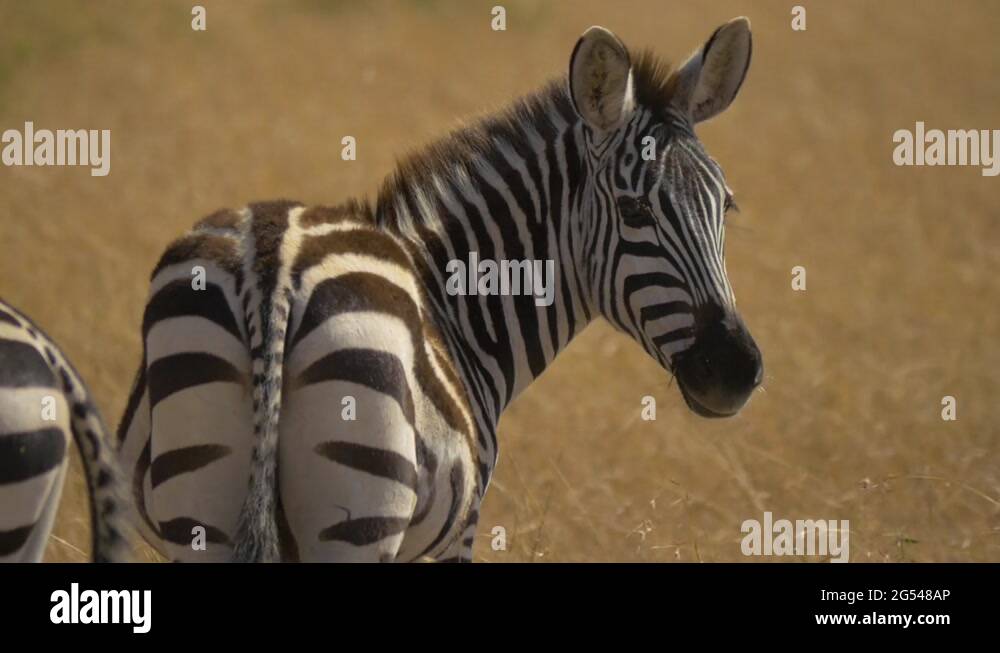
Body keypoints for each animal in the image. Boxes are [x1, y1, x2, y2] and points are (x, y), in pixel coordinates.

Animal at [117, 18, 762, 562]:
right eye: (634, 211)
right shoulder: (458, 529)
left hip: (202, 511)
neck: (457, 309)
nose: (737, 370)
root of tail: (271, 263)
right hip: (358, 517)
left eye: (727, 206)